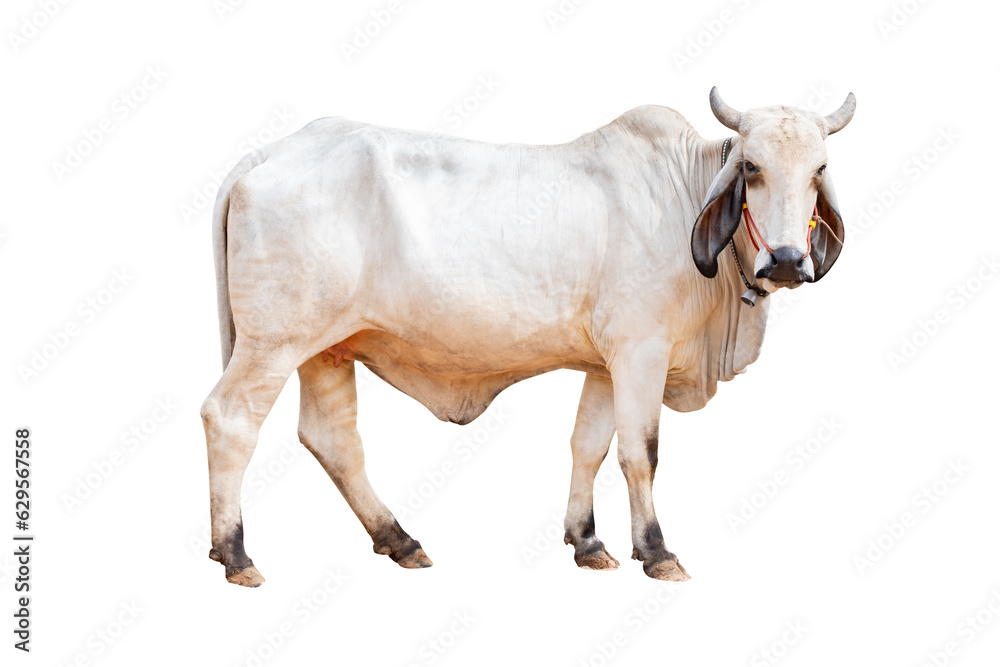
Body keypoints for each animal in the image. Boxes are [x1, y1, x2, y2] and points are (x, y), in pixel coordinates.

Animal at [201, 87, 854, 587]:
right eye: (751, 167)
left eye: (820, 169)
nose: (788, 260)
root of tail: (269, 152)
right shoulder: (641, 353)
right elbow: (639, 454)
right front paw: (656, 552)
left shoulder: (604, 364)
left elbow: (588, 445)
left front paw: (587, 542)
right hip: (271, 343)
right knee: (230, 420)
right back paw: (235, 554)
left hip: (326, 348)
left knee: (332, 439)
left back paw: (400, 539)